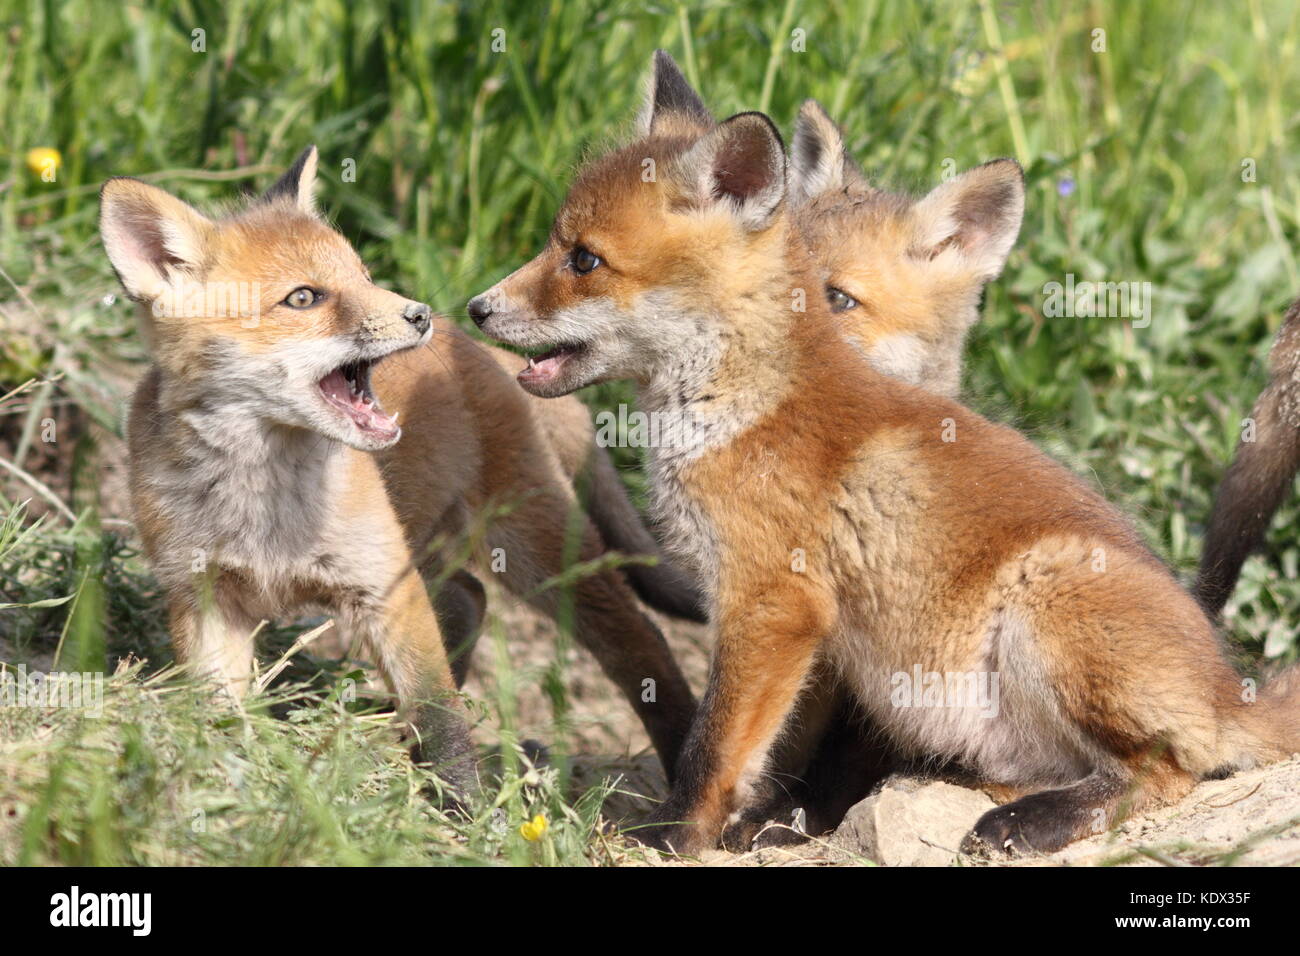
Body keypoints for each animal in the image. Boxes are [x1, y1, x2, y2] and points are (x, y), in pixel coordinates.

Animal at [99, 146, 702, 800]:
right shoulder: (204, 599)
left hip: (536, 552)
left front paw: (466, 808)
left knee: (638, 640)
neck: (264, 502)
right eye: (304, 298)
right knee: (469, 597)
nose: (420, 314)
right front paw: (225, 779)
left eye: (364, 275)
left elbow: (440, 717)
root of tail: (489, 353)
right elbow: (216, 711)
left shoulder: (385, 586)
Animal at [467, 51, 1300, 855]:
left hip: (1046, 597)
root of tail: (1229, 687)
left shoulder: (773, 603)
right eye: (554, 242)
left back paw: (1030, 823)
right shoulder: (812, 642)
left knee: (1164, 771)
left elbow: (714, 747)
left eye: (583, 260)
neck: (740, 410)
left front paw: (674, 835)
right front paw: (764, 821)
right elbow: (776, 753)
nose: (475, 308)